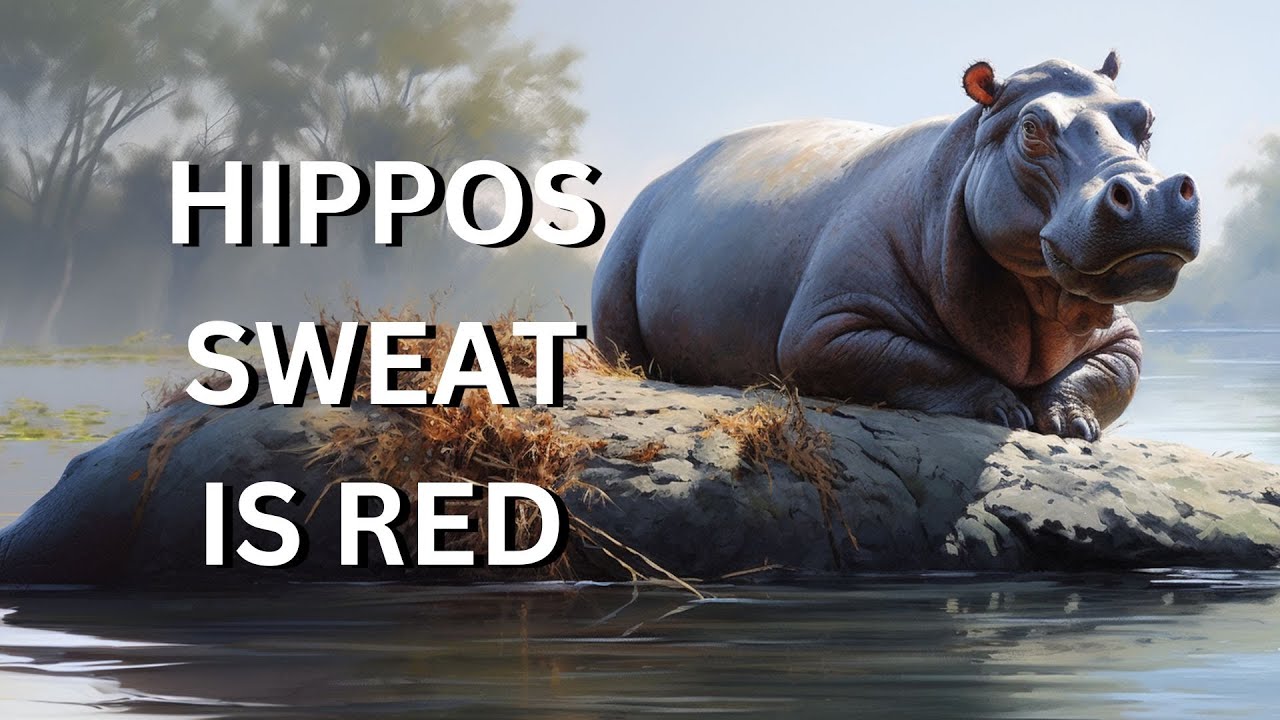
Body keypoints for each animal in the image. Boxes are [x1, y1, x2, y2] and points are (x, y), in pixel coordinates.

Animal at [592, 53, 1199, 441]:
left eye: (1145, 116)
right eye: (1031, 128)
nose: (1149, 194)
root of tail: (665, 176)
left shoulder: (1122, 340)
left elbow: (1106, 375)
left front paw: (1073, 423)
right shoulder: (827, 329)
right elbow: (921, 364)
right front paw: (1005, 410)